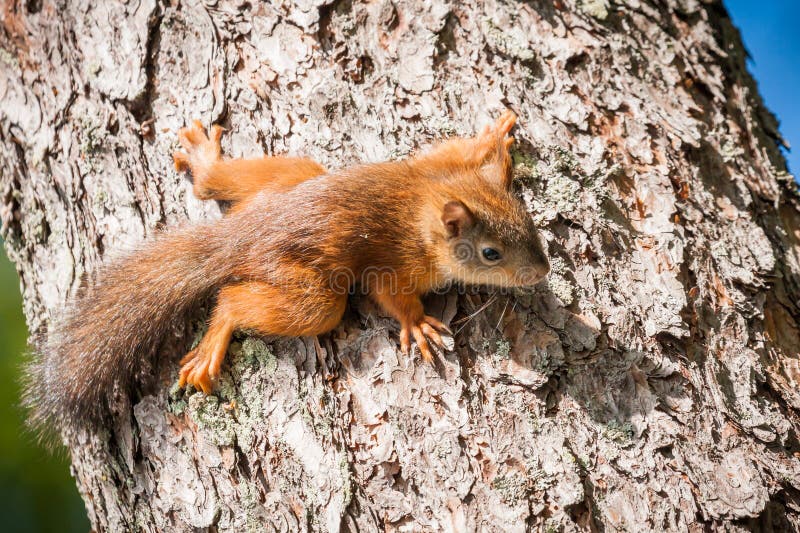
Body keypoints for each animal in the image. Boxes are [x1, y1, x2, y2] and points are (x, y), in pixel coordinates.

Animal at [23, 110, 550, 434]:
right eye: (490, 254)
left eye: (528, 221)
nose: (541, 271)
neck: (426, 208)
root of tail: (239, 237)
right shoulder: (396, 261)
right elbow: (393, 296)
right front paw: (418, 324)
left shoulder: (434, 168)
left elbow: (452, 150)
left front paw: (492, 139)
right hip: (310, 291)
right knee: (235, 300)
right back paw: (213, 343)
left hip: (289, 175)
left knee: (217, 185)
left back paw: (205, 162)